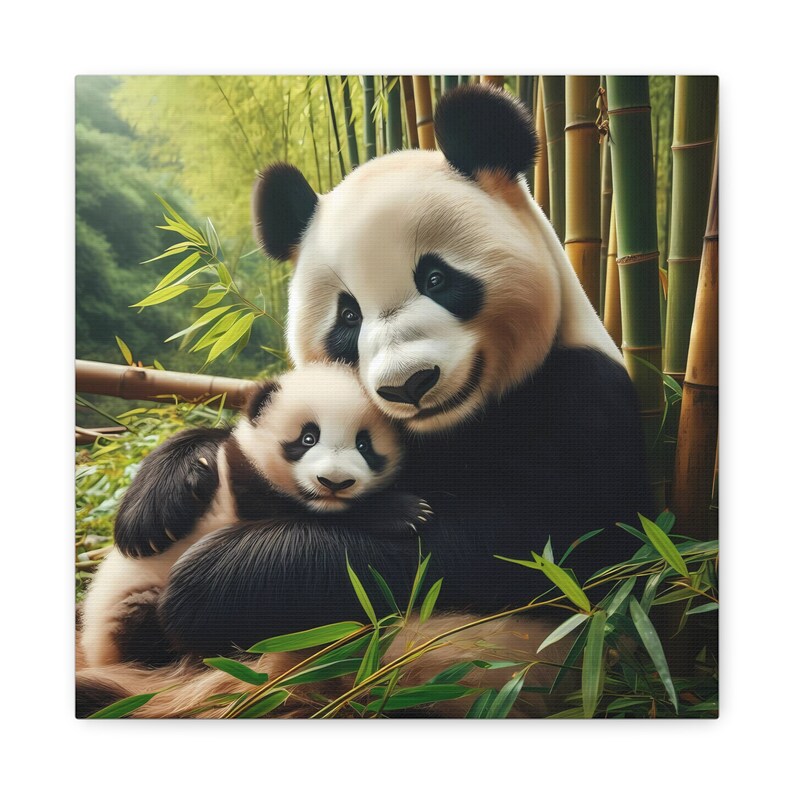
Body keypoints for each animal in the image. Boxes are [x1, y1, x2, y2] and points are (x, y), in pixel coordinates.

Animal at [80, 362, 425, 668]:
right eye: (308, 438)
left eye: (364, 444)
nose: (334, 482)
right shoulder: (247, 485)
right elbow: (304, 515)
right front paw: (401, 511)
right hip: (126, 609)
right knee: (141, 621)